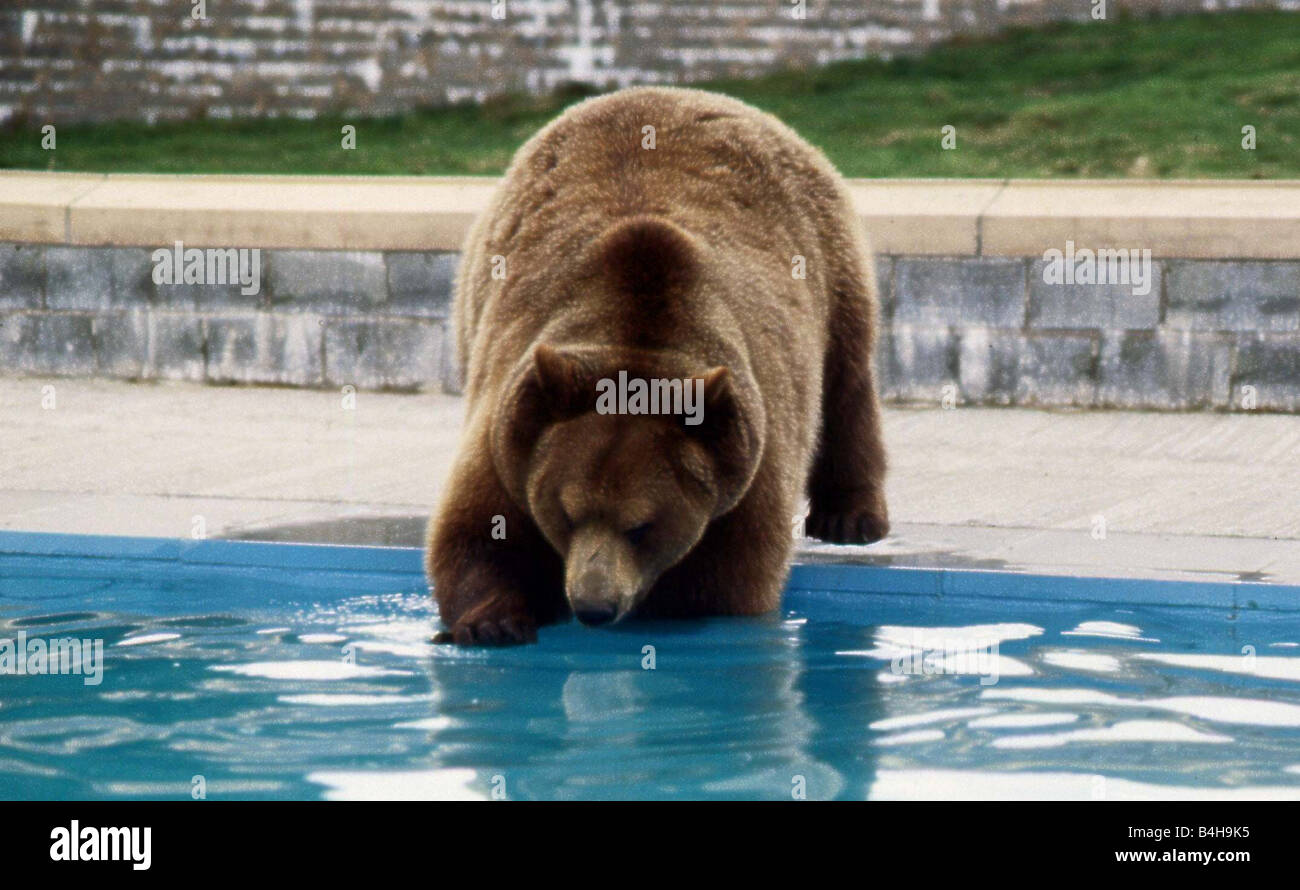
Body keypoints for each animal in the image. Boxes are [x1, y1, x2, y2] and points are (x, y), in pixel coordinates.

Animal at [427, 86, 888, 645]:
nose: (593, 604)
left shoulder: (743, 471)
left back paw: (851, 518)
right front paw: (494, 621)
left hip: (829, 263)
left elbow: (727, 584)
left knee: (846, 385)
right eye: (566, 511)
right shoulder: (514, 428)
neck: (639, 343)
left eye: (641, 526)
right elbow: (478, 530)